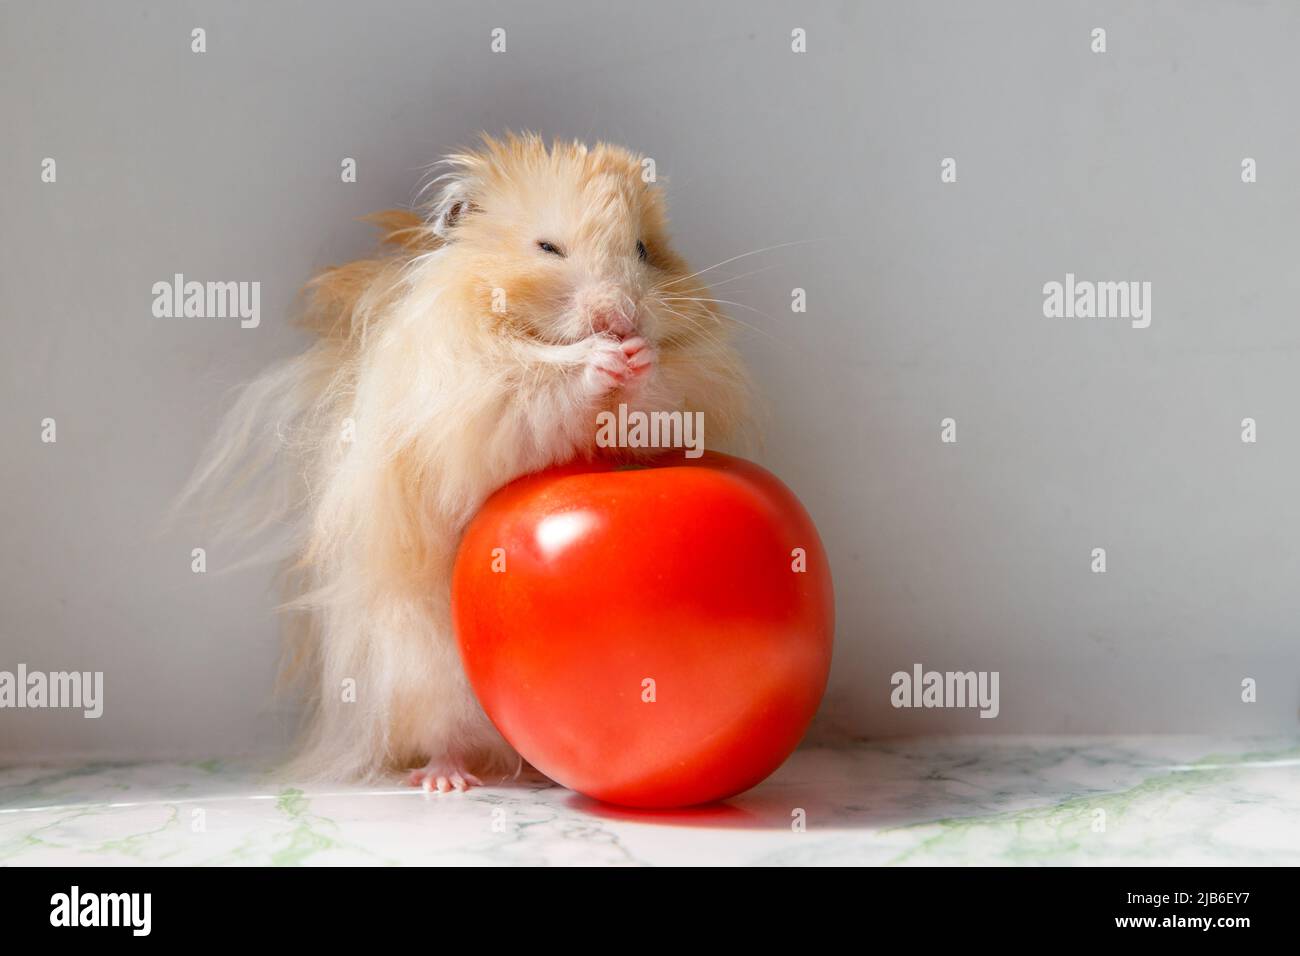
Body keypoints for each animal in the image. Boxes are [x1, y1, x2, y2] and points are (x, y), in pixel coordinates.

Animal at [185, 132, 752, 790]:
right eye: (547, 247)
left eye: (642, 248)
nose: (621, 317)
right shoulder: (477, 394)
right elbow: (544, 384)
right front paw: (602, 357)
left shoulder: (689, 390)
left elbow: (659, 395)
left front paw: (639, 357)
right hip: (421, 673)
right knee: (442, 735)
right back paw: (446, 780)